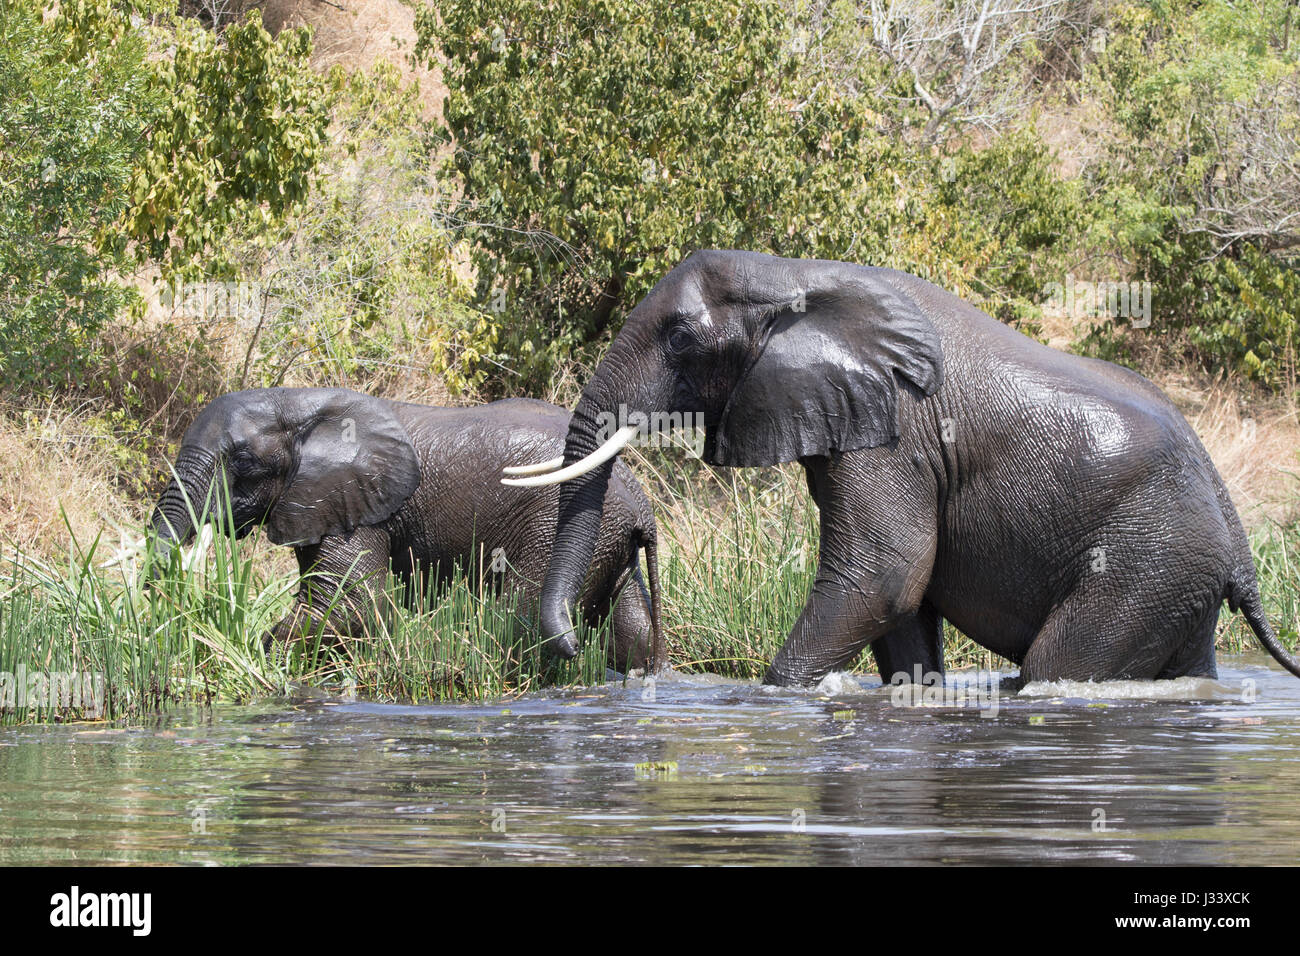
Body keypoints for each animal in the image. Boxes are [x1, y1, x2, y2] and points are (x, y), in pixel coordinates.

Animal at [149, 388, 665, 673]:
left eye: (242, 460)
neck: (297, 403)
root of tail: (641, 503)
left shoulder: (363, 507)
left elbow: (355, 604)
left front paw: (261, 659)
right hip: (610, 540)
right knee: (632, 633)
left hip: (562, 526)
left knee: (517, 616)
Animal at [503, 250, 1300, 687]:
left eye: (679, 338)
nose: (573, 649)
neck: (793, 271)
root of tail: (1237, 542)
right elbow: (902, 607)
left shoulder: (896, 433)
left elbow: (883, 575)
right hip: (1180, 579)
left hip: (1147, 559)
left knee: (1060, 665)